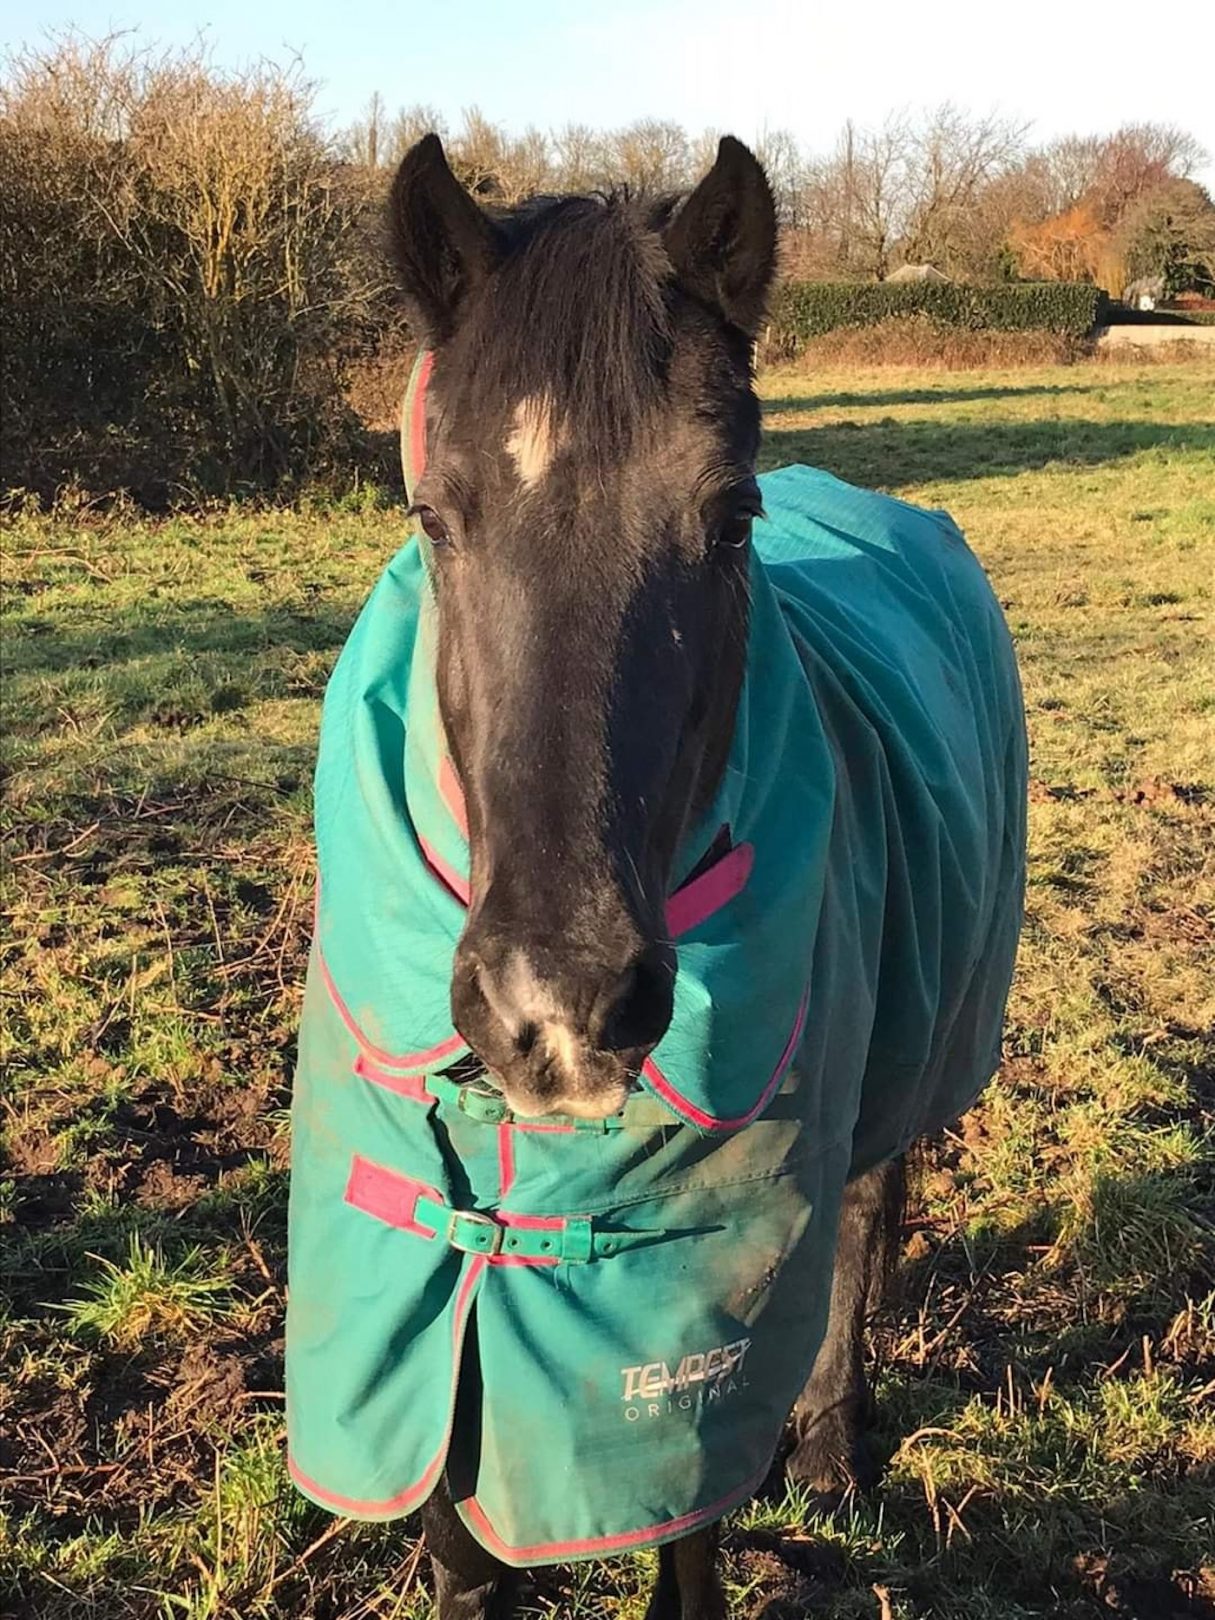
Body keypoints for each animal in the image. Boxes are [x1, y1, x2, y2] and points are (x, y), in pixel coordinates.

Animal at [284, 134, 1027, 1619]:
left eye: (732, 516)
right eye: (432, 515)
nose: (557, 1010)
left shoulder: (685, 1322)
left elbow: (687, 1537)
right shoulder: (425, 1293)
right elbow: (464, 1547)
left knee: (865, 1213)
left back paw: (834, 1451)